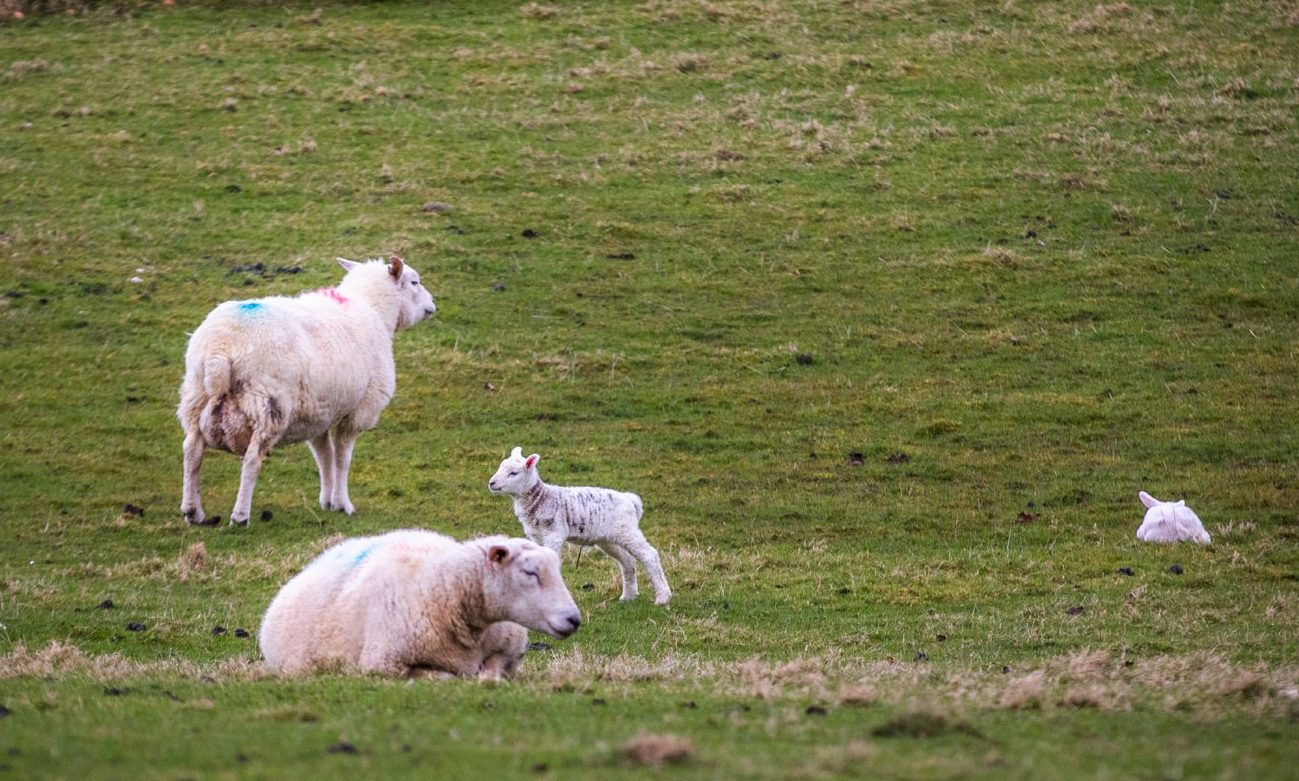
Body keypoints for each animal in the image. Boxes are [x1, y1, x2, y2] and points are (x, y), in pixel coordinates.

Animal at [177, 255, 435, 526]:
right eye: (415, 282)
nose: (433, 305)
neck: (374, 309)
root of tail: (220, 347)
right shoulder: (358, 411)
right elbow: (342, 458)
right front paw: (343, 503)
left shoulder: (317, 413)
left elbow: (324, 456)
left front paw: (328, 502)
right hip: (268, 405)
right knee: (251, 459)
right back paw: (240, 516)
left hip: (195, 398)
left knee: (192, 452)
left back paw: (193, 512)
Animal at [259, 529, 582, 678]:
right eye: (529, 572)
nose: (574, 619)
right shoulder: (385, 665)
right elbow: (442, 676)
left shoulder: (508, 655)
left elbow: (492, 671)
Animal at [488, 447, 672, 605]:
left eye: (513, 473)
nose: (491, 483)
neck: (541, 499)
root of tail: (631, 500)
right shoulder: (535, 535)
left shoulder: (554, 534)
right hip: (608, 538)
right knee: (627, 561)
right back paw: (628, 596)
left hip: (626, 530)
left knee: (650, 555)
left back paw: (663, 597)